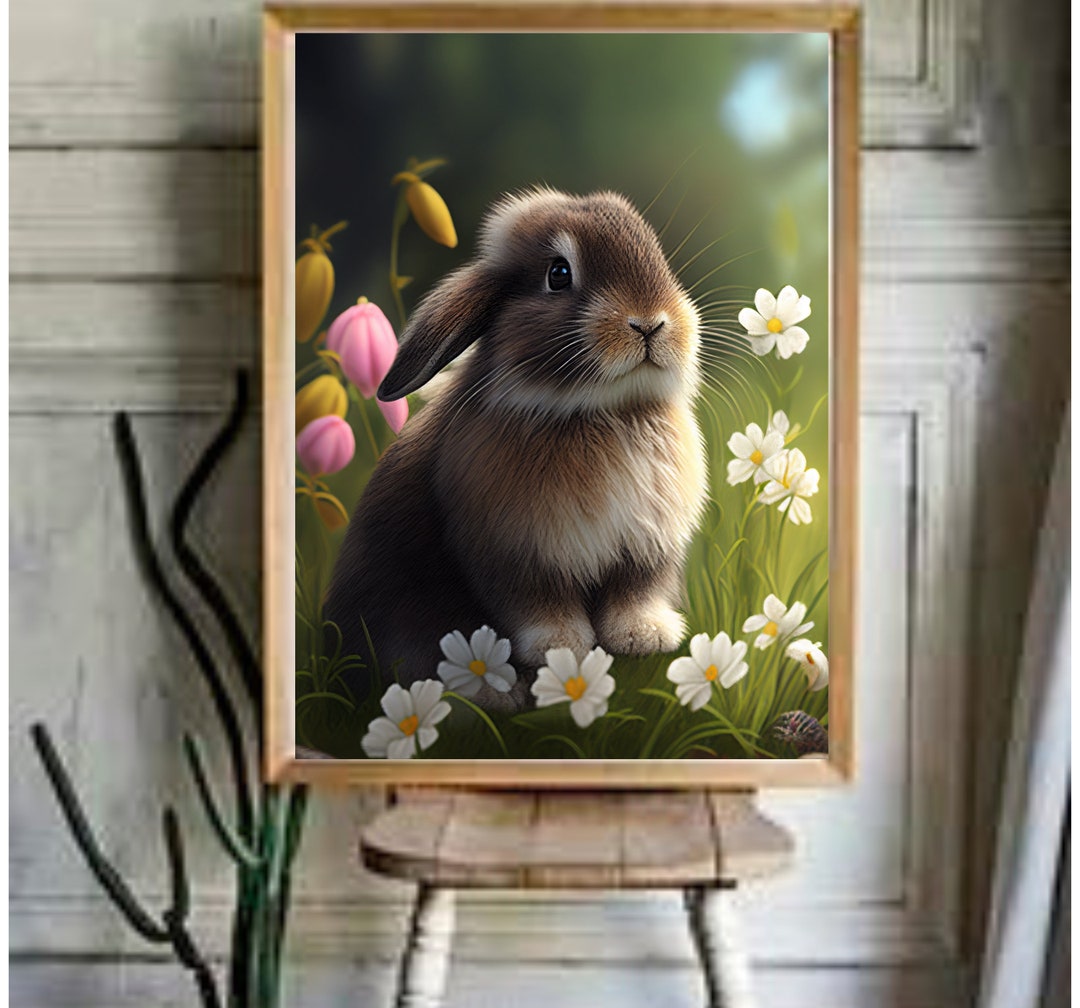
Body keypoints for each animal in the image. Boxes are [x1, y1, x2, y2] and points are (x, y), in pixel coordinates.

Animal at [323, 187, 707, 711]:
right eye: (558, 274)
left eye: (658, 256)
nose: (649, 324)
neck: (604, 412)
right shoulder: (517, 556)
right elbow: (538, 607)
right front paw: (561, 650)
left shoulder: (645, 550)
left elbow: (635, 594)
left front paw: (646, 636)